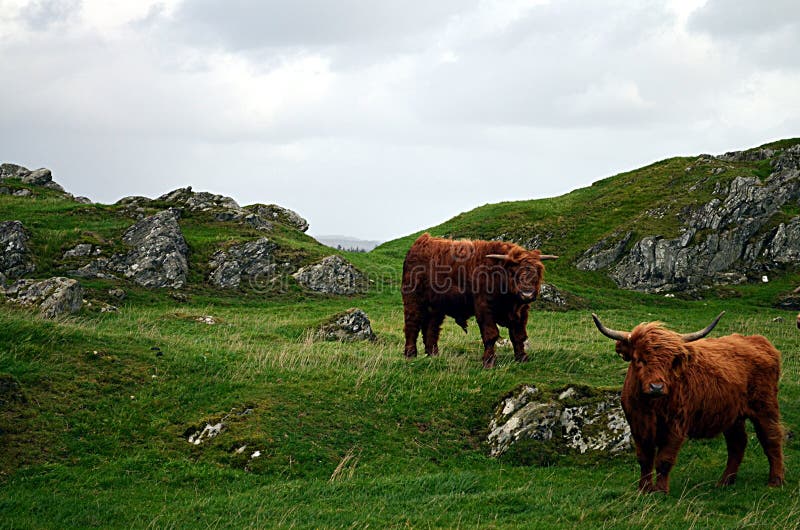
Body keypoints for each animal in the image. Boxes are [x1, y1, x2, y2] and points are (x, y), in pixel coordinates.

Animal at [401, 233, 557, 368]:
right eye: (514, 272)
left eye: (537, 271)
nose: (527, 293)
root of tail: (421, 242)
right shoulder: (484, 308)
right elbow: (491, 334)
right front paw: (489, 362)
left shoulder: (521, 312)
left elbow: (518, 335)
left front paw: (522, 358)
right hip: (413, 300)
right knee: (412, 324)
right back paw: (410, 355)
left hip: (436, 307)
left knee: (431, 328)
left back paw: (433, 355)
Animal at [592, 311, 785, 494]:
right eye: (640, 359)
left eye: (671, 362)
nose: (656, 387)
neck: (652, 406)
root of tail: (758, 341)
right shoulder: (638, 426)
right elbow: (645, 459)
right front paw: (644, 489)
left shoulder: (676, 427)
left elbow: (664, 459)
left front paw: (660, 491)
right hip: (733, 415)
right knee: (737, 444)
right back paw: (724, 481)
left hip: (765, 407)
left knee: (771, 438)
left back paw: (775, 480)